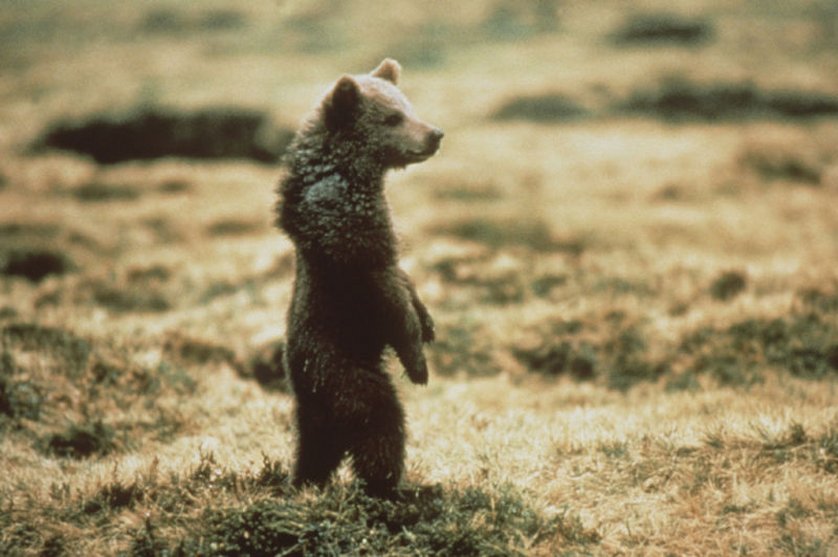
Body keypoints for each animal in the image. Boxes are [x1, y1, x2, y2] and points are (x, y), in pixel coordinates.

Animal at [276, 58, 443, 498]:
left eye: (409, 105)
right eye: (393, 117)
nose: (435, 134)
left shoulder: (381, 233)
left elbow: (402, 275)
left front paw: (429, 322)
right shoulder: (354, 242)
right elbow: (391, 299)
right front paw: (419, 364)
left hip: (319, 404)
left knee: (315, 446)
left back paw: (303, 481)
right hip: (340, 368)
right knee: (380, 421)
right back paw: (392, 486)